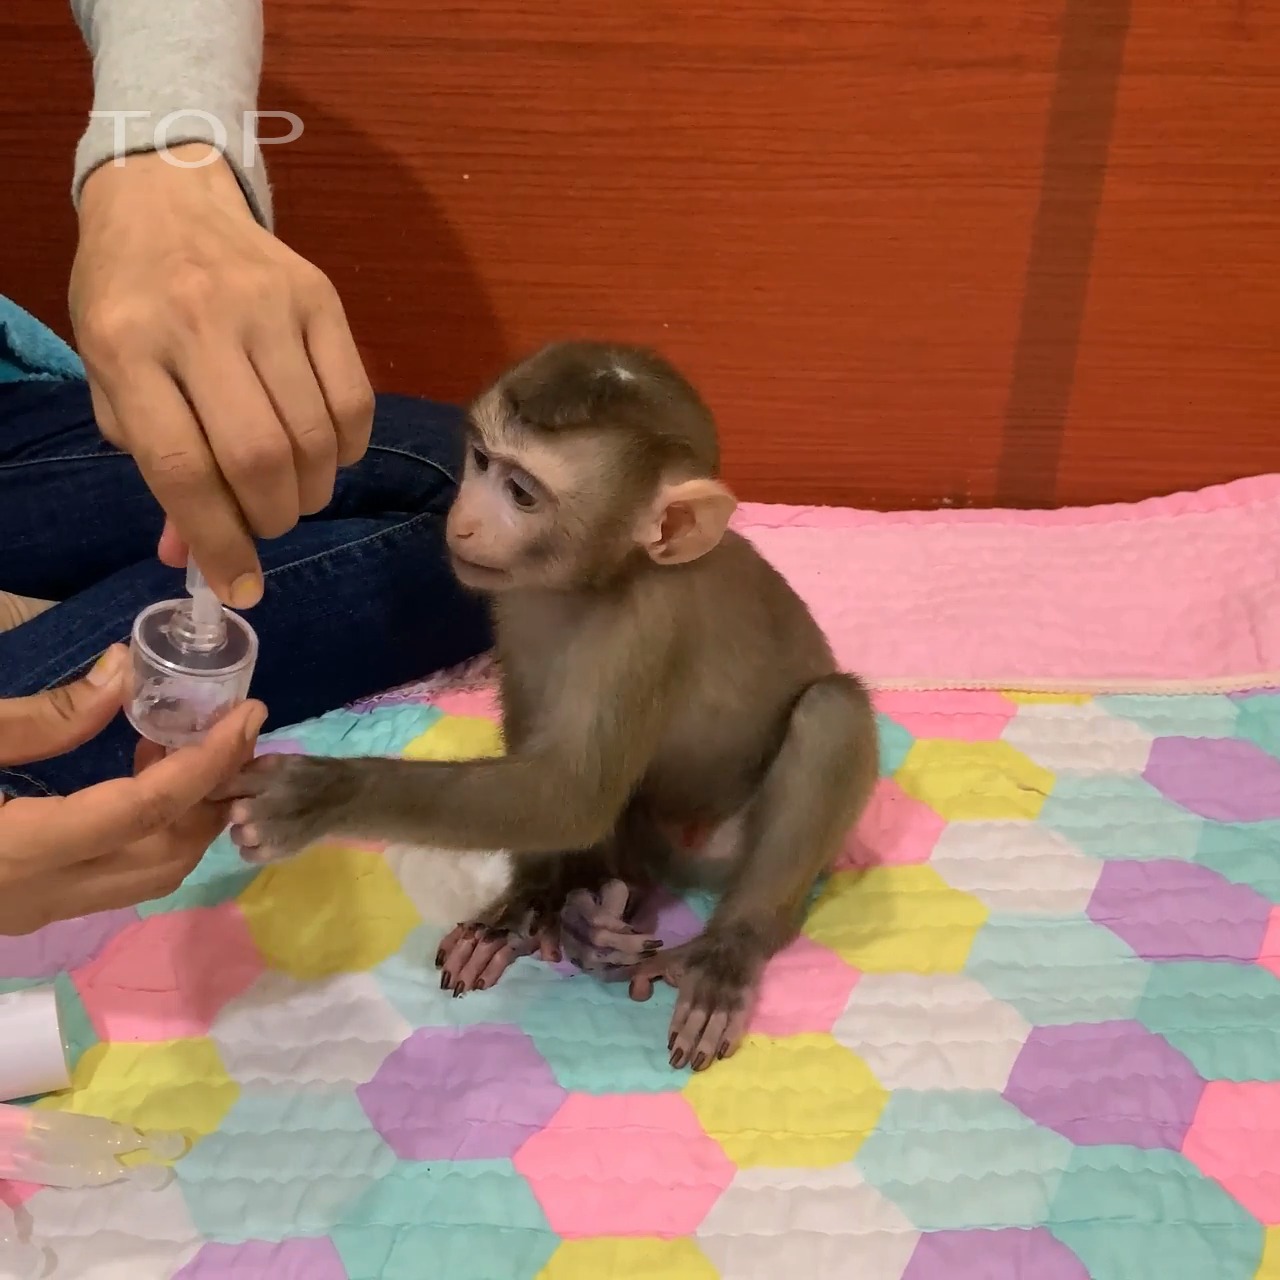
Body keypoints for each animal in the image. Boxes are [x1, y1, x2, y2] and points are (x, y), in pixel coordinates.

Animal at [224, 339, 879, 1071]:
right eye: (482, 461)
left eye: (522, 494)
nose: (464, 521)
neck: (592, 583)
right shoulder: (514, 604)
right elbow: (539, 757)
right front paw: (529, 897)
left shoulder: (647, 624)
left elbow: (571, 793)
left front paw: (317, 794)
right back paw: (589, 911)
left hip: (733, 846)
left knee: (831, 711)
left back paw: (728, 947)